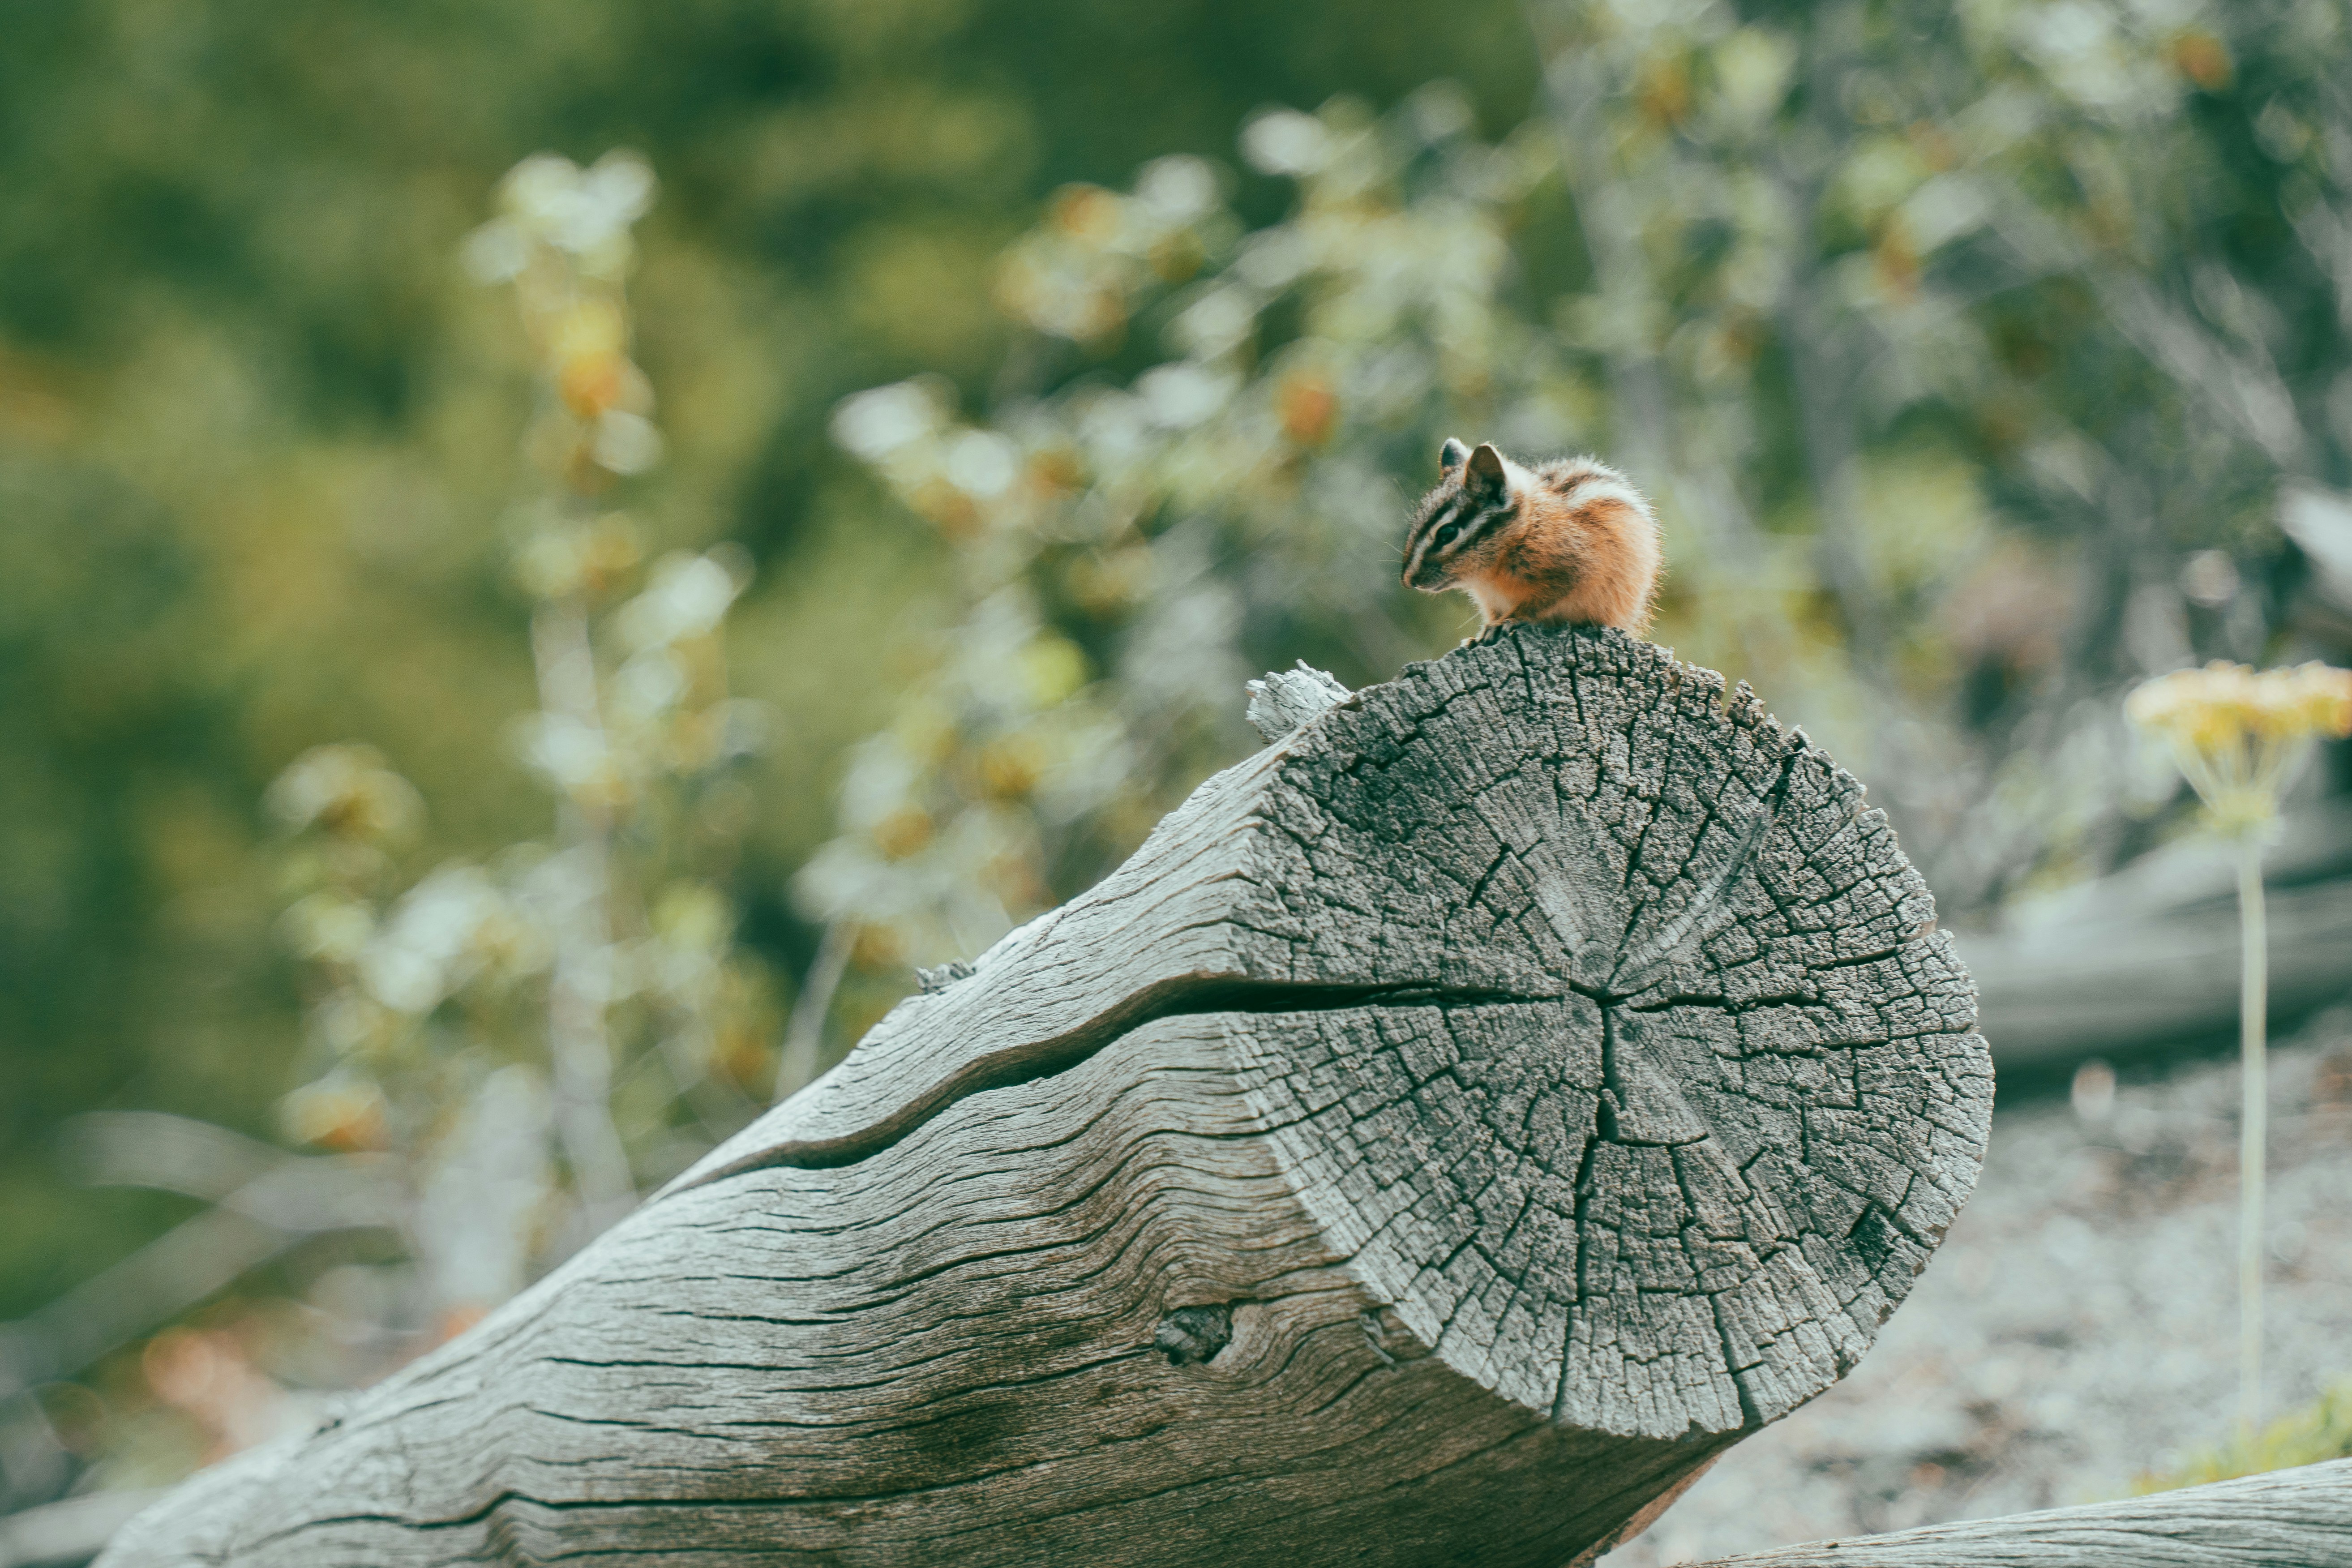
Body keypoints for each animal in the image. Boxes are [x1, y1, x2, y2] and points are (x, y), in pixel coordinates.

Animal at [1400, 438, 1662, 634]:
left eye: (1447, 534)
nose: (1408, 581)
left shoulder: (1576, 570)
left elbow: (1539, 603)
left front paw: (1508, 621)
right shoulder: (1490, 601)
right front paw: (1480, 635)